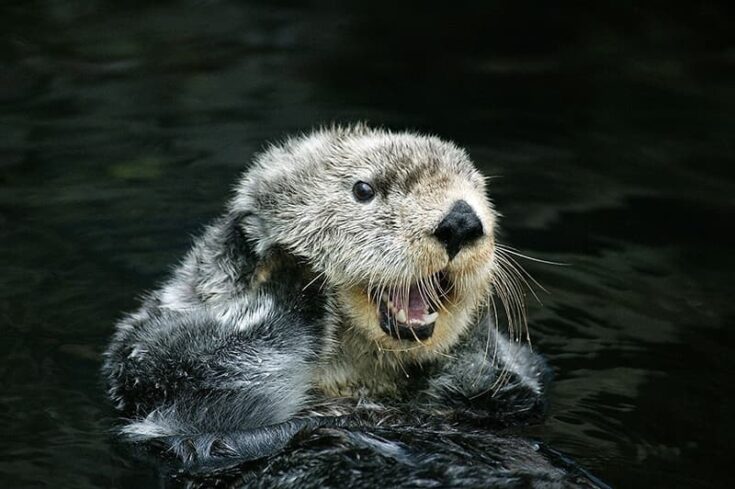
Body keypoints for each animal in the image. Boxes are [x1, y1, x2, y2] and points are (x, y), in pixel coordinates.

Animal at [102, 126, 604, 487]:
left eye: (479, 192)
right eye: (364, 189)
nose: (462, 220)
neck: (358, 383)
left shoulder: (512, 399)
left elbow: (516, 385)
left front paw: (479, 333)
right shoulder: (155, 367)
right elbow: (220, 371)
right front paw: (290, 269)